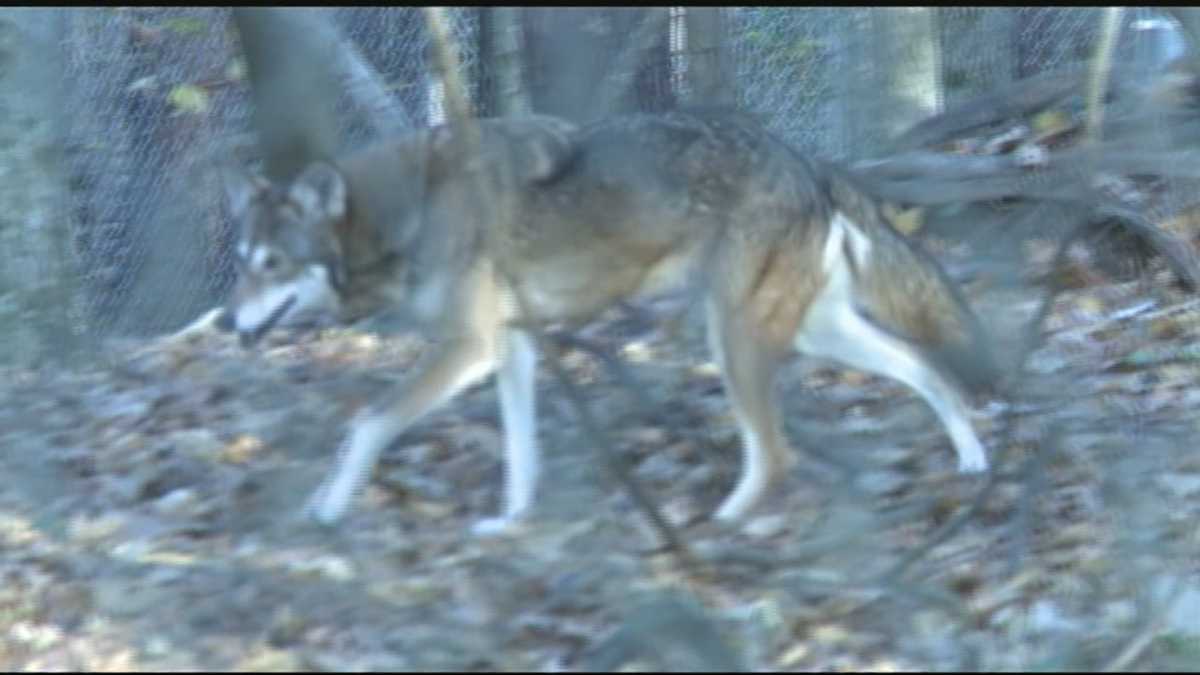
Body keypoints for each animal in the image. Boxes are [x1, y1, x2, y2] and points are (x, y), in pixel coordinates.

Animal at [221, 109, 997, 535]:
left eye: (271, 264)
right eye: (241, 262)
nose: (228, 322)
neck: (411, 211)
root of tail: (811, 160)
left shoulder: (468, 348)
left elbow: (367, 424)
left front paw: (327, 510)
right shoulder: (512, 349)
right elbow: (521, 455)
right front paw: (509, 524)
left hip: (734, 338)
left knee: (775, 454)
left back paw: (718, 527)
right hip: (812, 332)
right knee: (926, 368)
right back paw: (972, 458)